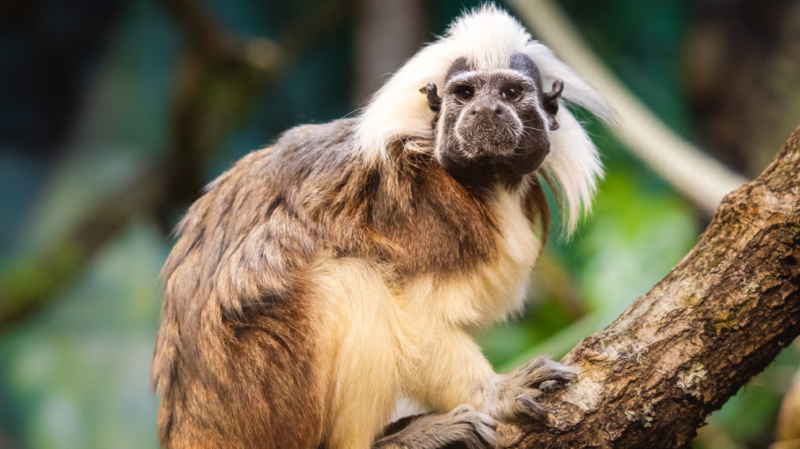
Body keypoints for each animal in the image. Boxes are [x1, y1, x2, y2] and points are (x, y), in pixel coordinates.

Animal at [151, 5, 613, 449]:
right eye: (465, 94)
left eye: (511, 93)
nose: (485, 110)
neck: (485, 184)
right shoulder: (424, 215)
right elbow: (418, 316)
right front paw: (495, 394)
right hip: (268, 395)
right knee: (352, 280)